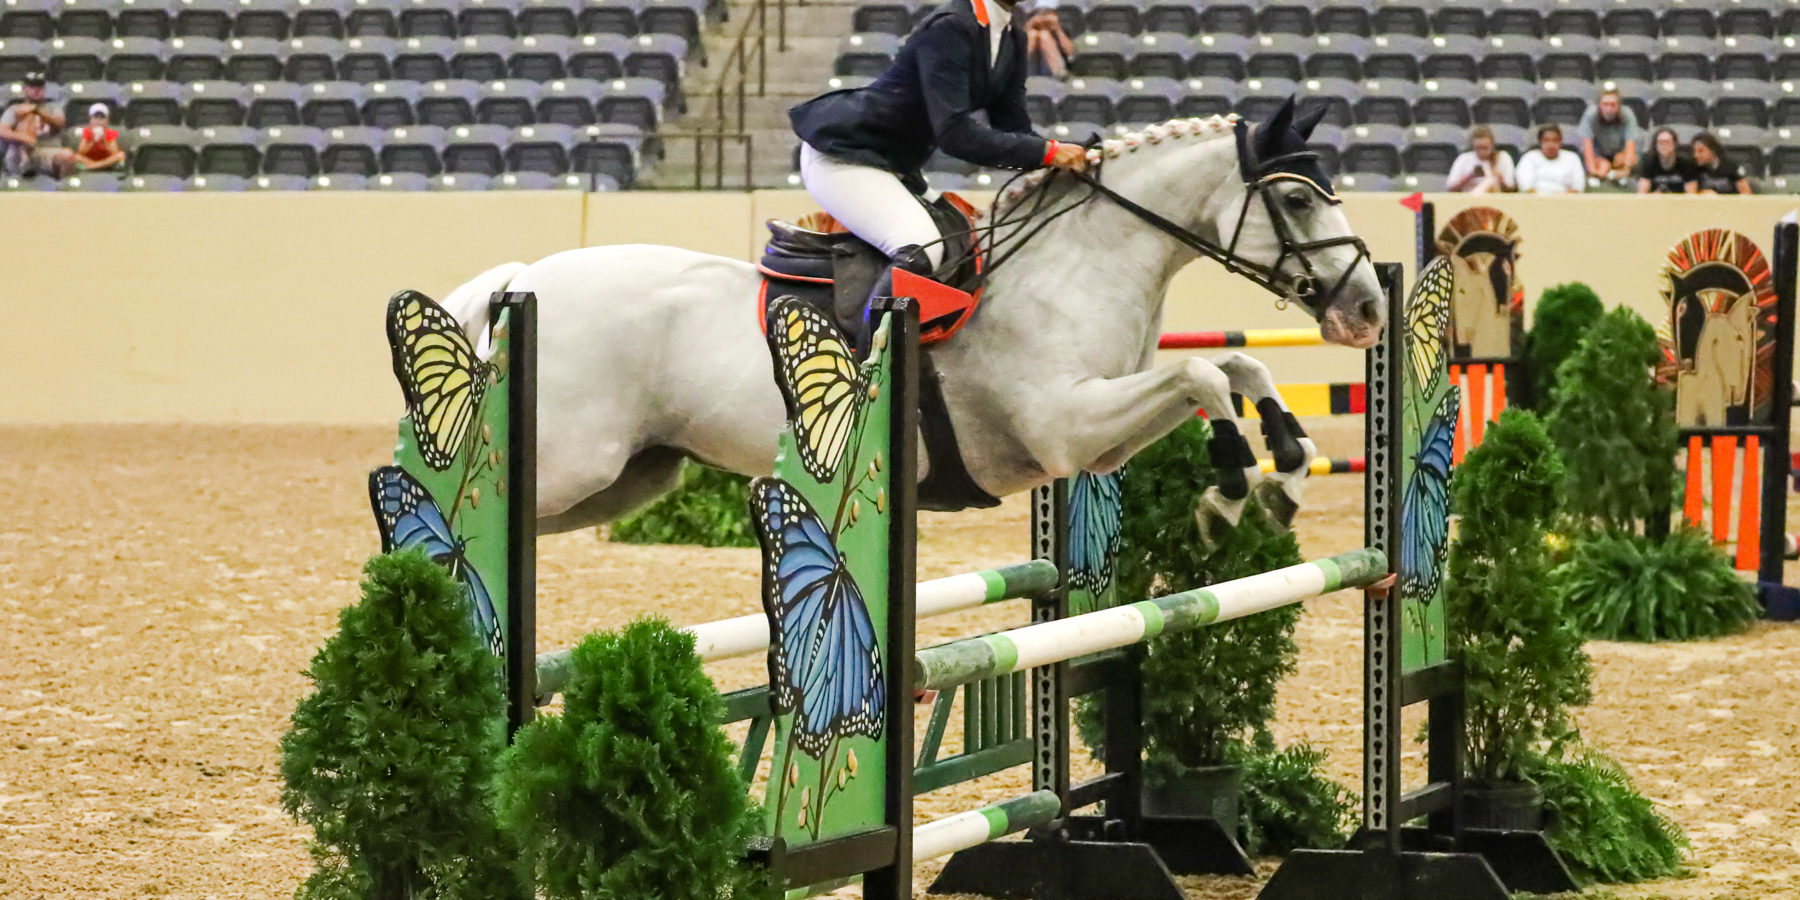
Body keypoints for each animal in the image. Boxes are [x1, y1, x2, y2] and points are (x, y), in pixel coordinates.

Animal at [441, 100, 1386, 540]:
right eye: (1298, 198)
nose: (1369, 310)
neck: (1083, 260)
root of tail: (529, 278)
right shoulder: (1066, 427)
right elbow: (1201, 372)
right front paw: (1229, 492)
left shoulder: (1099, 439)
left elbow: (1239, 369)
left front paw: (1284, 472)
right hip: (573, 462)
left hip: (626, 477)